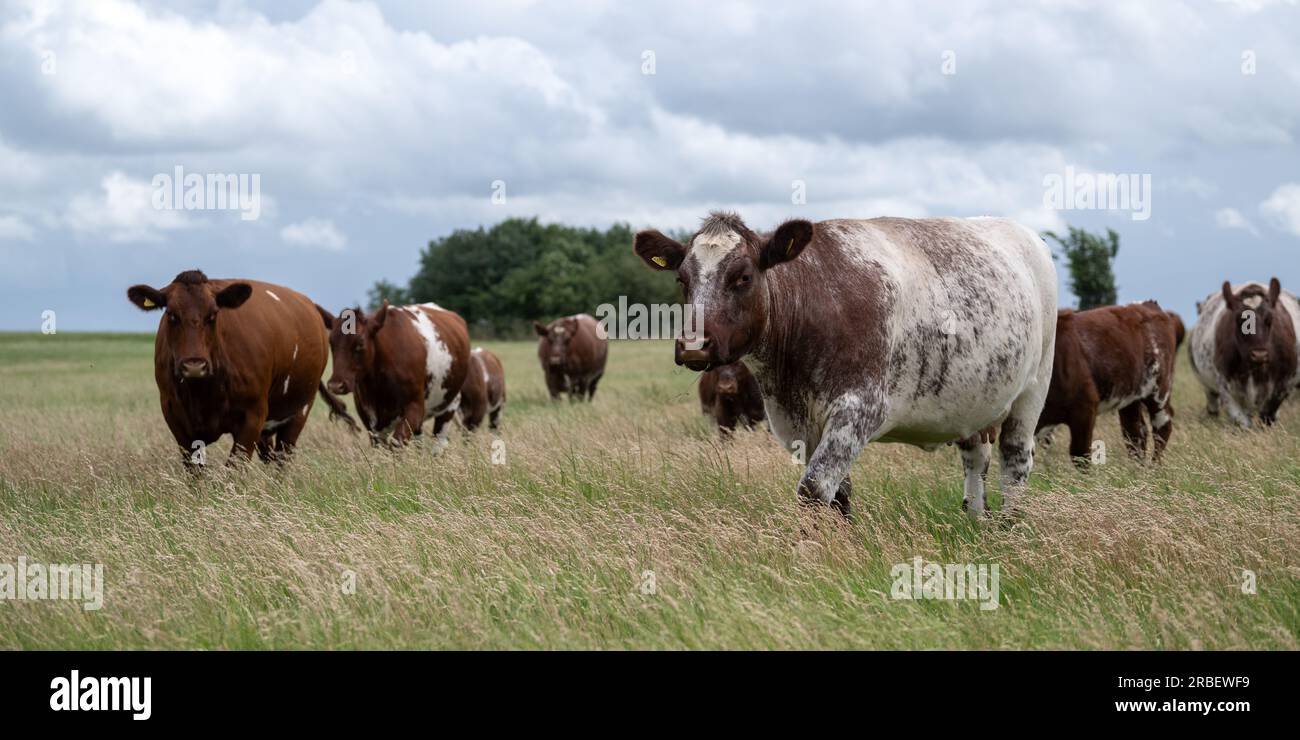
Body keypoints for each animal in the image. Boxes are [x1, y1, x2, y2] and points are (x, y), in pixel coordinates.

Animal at [126, 270, 356, 466]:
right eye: (172, 315)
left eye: (213, 315)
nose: (194, 365)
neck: (202, 392)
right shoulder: (175, 417)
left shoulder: (253, 416)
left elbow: (235, 468)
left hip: (300, 409)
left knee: (282, 458)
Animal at [322, 301, 471, 450]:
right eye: (331, 342)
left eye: (360, 343)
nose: (335, 385)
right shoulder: (368, 419)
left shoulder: (415, 408)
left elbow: (396, 442)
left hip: (449, 405)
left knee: (439, 441)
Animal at [635, 212, 1057, 518]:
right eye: (682, 279)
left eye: (743, 276)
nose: (694, 346)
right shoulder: (798, 423)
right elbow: (838, 493)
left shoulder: (858, 408)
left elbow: (813, 488)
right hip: (971, 400)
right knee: (976, 457)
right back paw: (974, 520)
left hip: (1033, 390)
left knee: (1015, 460)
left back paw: (1008, 530)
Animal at [1035, 302, 1183, 465]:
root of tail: (1149, 305)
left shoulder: (1084, 408)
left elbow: (1080, 455)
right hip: (1130, 397)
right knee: (1135, 432)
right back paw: (1137, 467)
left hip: (1159, 391)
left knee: (1162, 426)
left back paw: (1154, 465)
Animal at [1189, 279, 1300, 428]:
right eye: (1239, 319)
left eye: (1269, 319)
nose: (1259, 354)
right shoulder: (1225, 385)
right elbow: (1242, 422)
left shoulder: (1284, 384)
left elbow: (1267, 416)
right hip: (1207, 385)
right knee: (1213, 404)